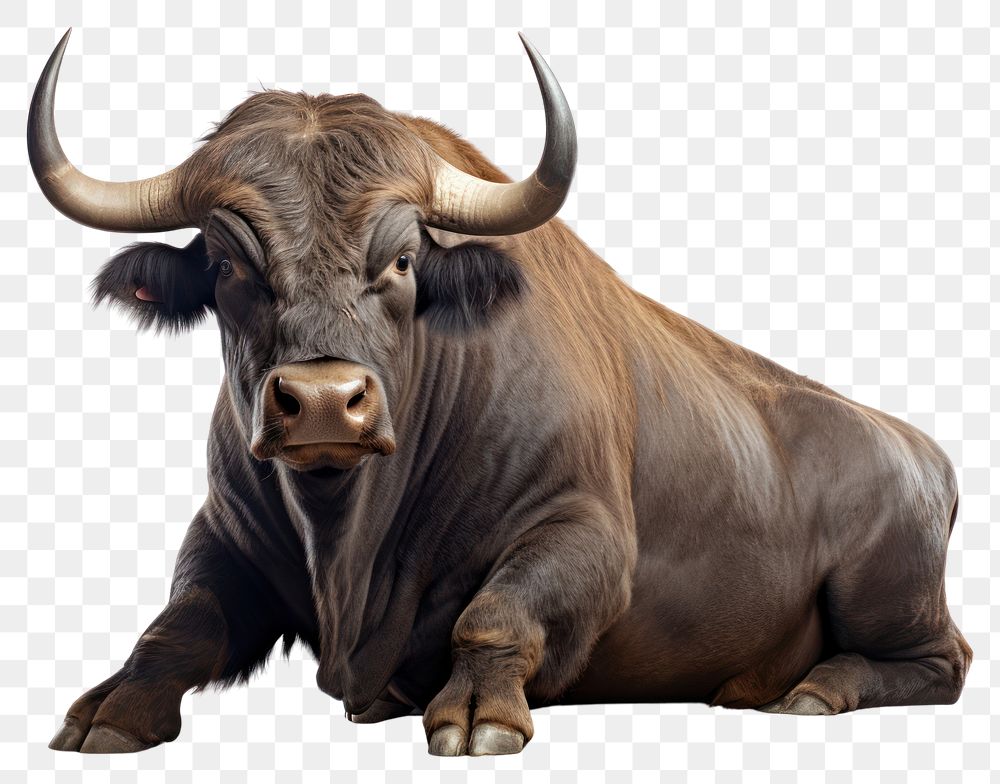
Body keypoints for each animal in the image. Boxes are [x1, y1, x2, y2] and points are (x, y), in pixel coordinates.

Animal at [30, 29, 971, 757]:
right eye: (227, 265)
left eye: (403, 259)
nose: (326, 402)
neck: (347, 540)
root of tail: (926, 454)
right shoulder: (223, 531)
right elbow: (177, 626)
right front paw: (109, 712)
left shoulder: (586, 535)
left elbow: (497, 613)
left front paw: (476, 716)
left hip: (887, 601)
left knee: (946, 659)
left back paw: (817, 690)